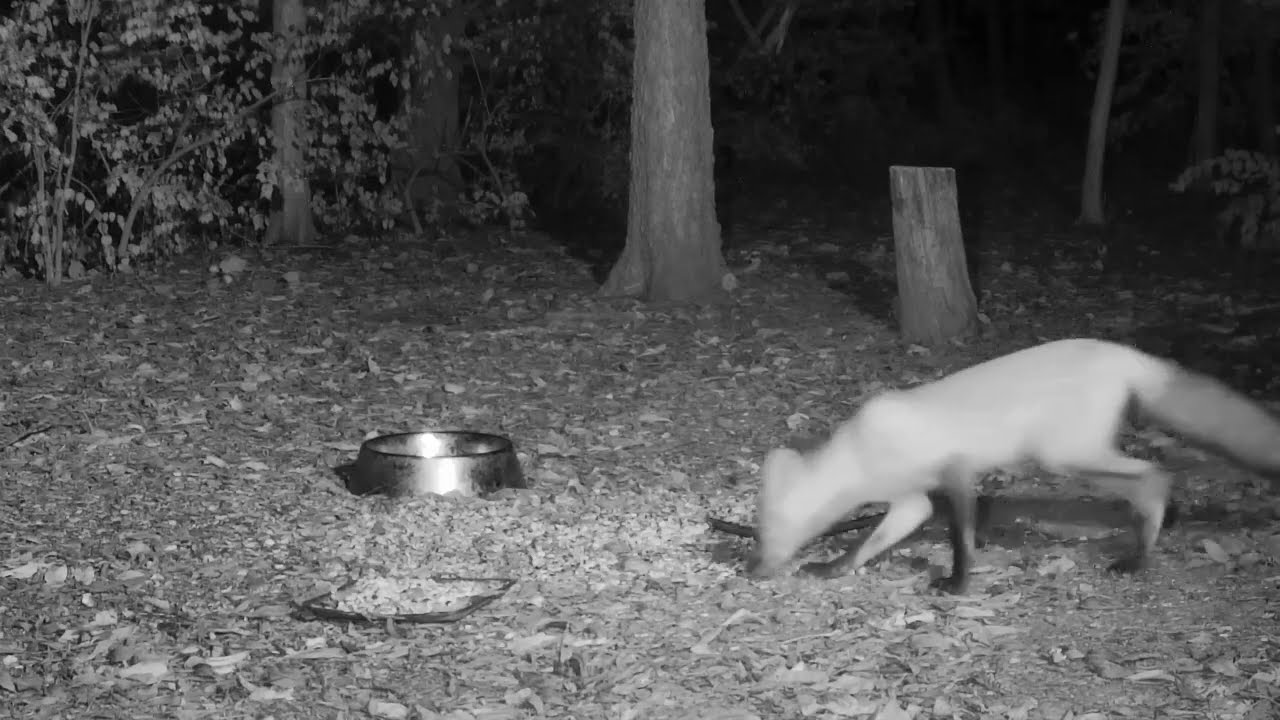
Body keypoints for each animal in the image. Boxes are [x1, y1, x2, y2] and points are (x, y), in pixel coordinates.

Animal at [745, 338, 1280, 594]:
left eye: (767, 531)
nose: (751, 571)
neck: (862, 456)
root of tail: (1127, 354)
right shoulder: (911, 501)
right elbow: (866, 545)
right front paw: (833, 569)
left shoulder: (957, 473)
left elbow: (961, 539)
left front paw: (958, 586)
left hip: (1065, 455)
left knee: (1156, 476)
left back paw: (1140, 556)